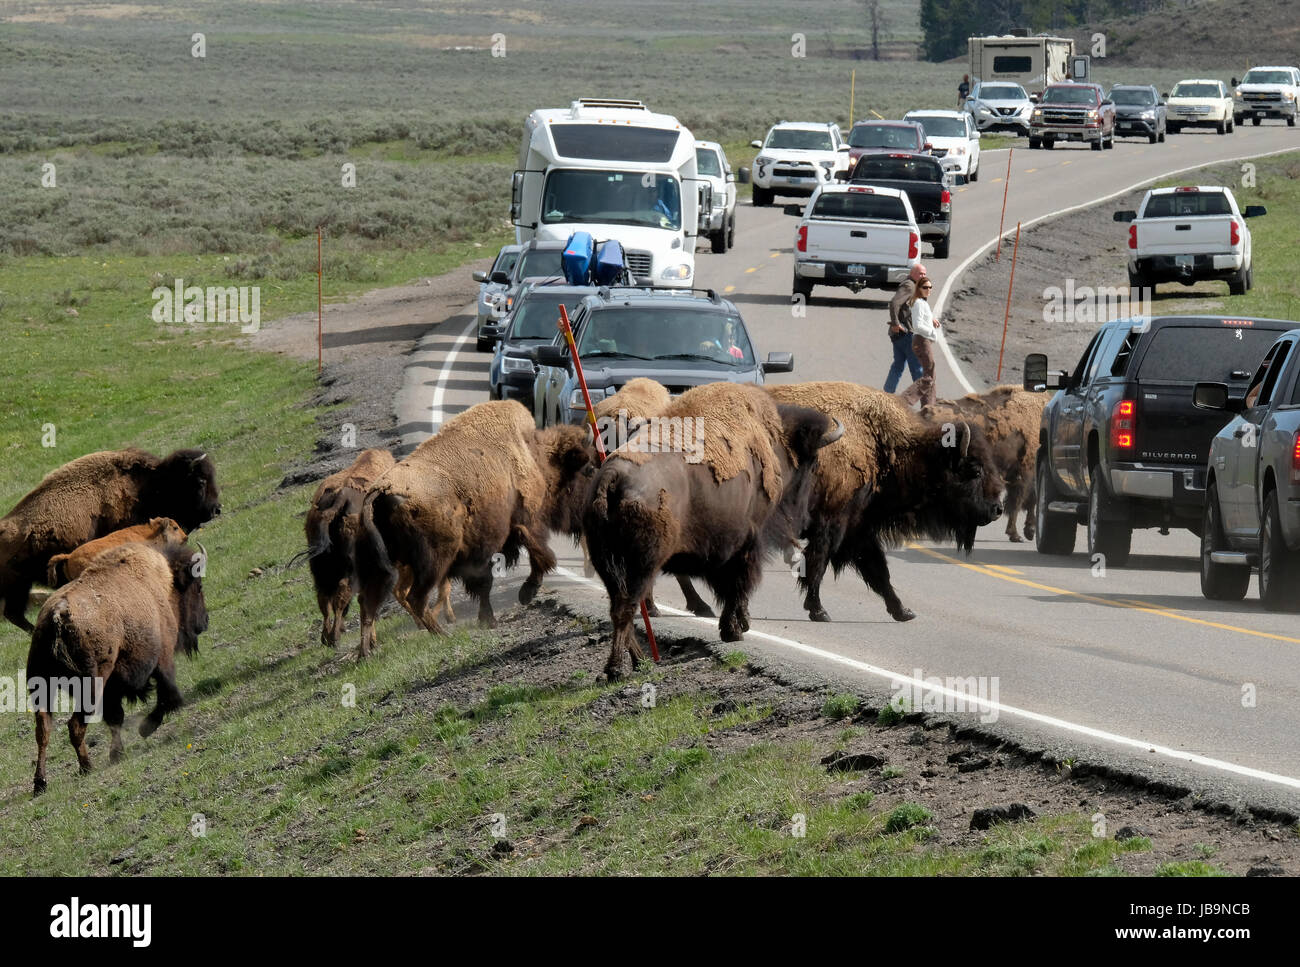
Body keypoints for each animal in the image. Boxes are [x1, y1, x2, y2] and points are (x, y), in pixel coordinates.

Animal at [27, 541, 209, 796]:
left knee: (43, 730)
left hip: (43, 687)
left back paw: (41, 783)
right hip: (91, 686)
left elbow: (116, 719)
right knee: (75, 725)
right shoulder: (162, 661)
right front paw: (144, 729)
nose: (204, 622)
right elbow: (168, 697)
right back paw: (86, 767)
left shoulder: (113, 688)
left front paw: (117, 754)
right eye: (198, 586)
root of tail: (57, 615)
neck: (163, 582)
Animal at [584, 382, 843, 678]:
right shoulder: (747, 545)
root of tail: (612, 476)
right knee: (626, 606)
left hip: (608, 563)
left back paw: (638, 661)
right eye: (812, 463)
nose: (805, 512)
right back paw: (618, 668)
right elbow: (737, 586)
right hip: (641, 564)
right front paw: (734, 630)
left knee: (619, 607)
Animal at [768, 382, 1005, 623]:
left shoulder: (858, 529)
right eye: (976, 471)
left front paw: (903, 611)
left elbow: (879, 571)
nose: (997, 509)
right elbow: (817, 565)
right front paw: (818, 610)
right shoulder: (829, 527)